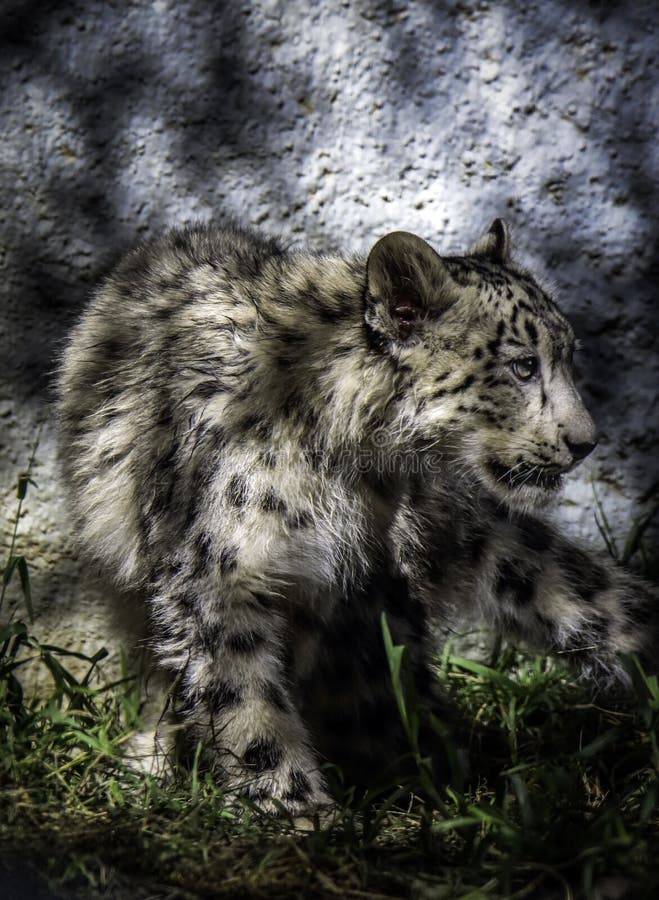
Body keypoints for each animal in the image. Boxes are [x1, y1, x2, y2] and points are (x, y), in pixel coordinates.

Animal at [56, 217, 658, 814]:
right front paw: (296, 809)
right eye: (523, 365)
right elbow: (246, 696)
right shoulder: (221, 573)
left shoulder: (361, 587)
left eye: (568, 356)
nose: (585, 442)